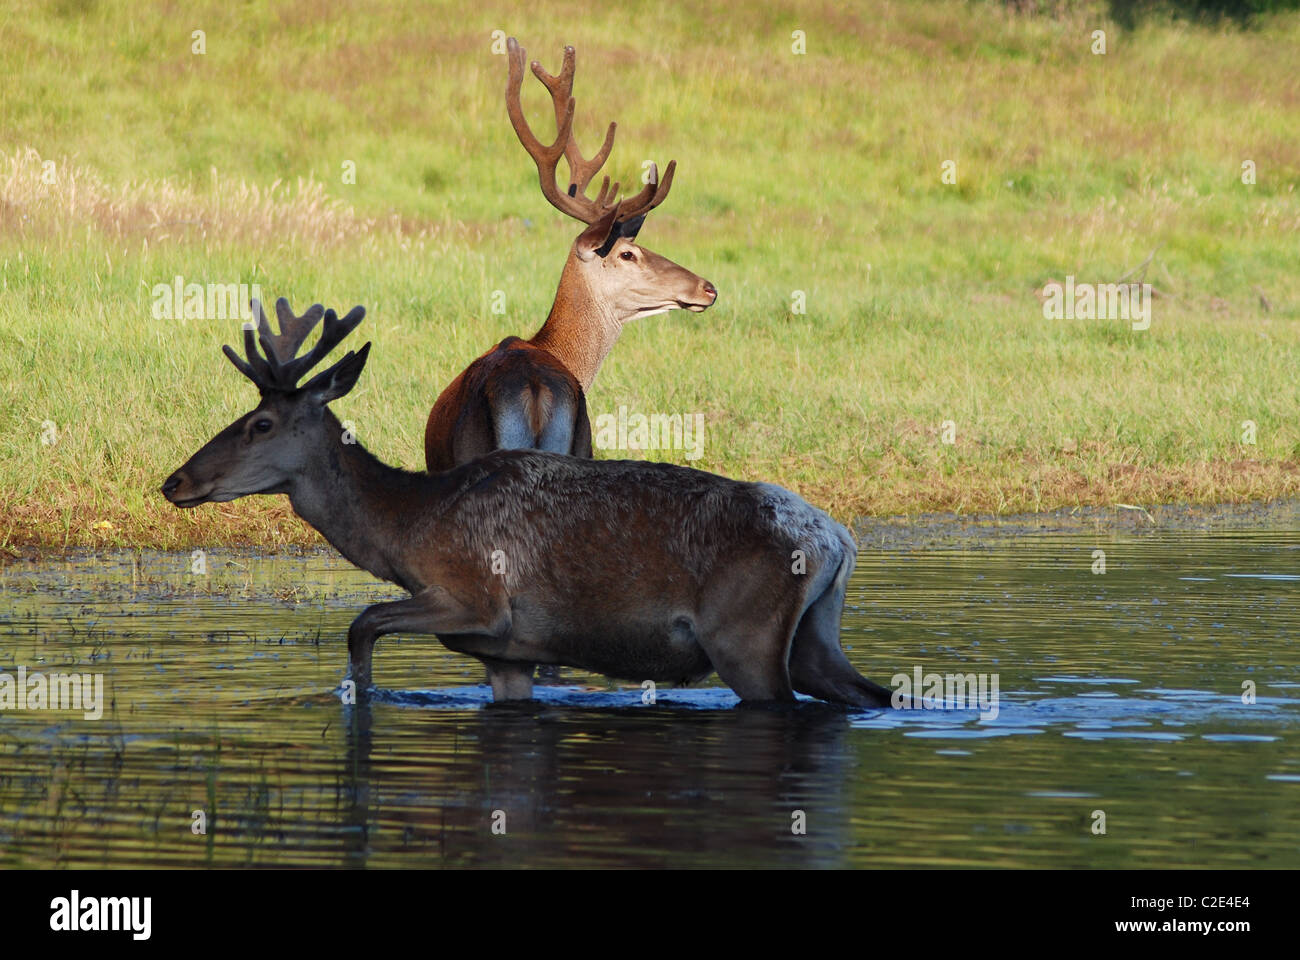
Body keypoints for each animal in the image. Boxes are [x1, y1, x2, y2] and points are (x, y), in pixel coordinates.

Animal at [162, 300, 893, 709]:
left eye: (259, 423)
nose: (175, 481)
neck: (409, 528)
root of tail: (838, 539)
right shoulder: (509, 653)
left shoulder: (477, 599)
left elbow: (361, 623)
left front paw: (361, 697)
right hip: (815, 637)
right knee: (871, 692)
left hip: (745, 636)